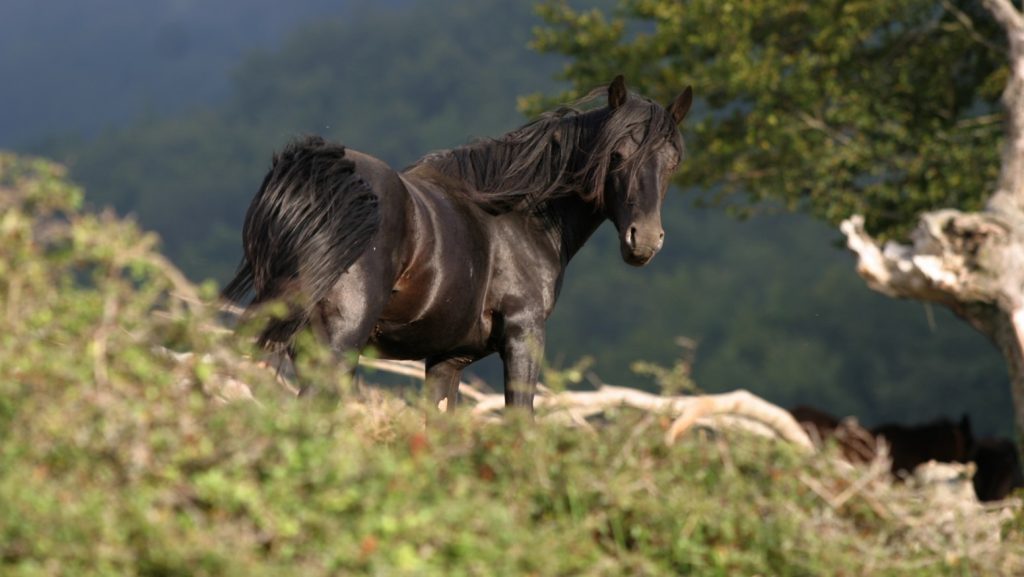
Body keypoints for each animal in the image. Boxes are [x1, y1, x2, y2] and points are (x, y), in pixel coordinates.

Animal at [223, 75, 693, 411]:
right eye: (617, 155)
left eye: (673, 162)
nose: (644, 240)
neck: (519, 216)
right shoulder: (524, 336)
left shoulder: (446, 360)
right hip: (336, 345)